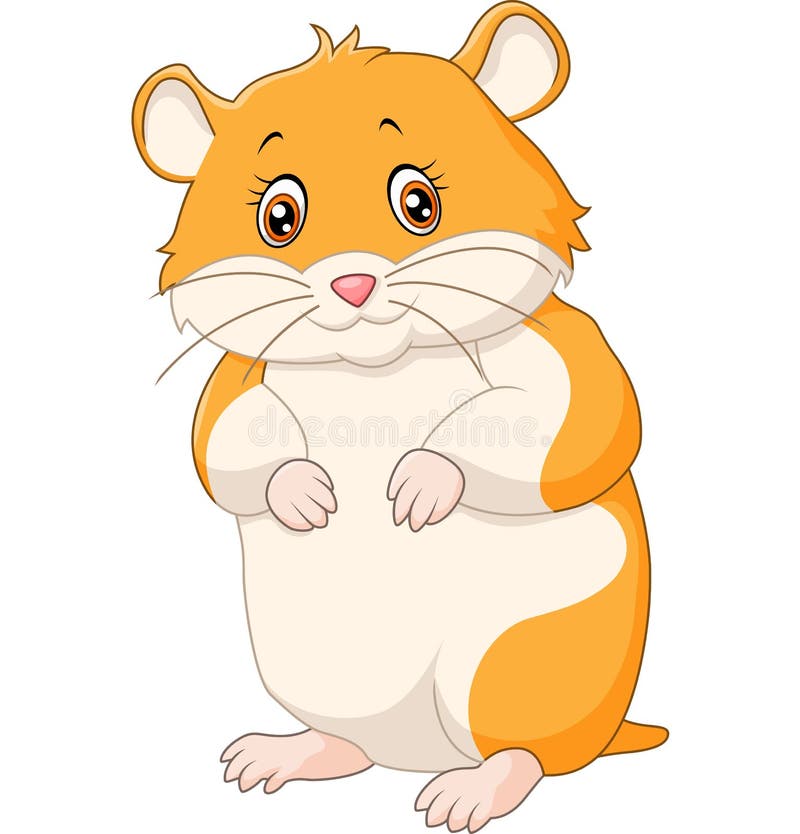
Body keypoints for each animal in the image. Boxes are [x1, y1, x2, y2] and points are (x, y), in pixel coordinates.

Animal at [133, 3, 667, 830]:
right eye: (279, 216)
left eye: (419, 203)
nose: (352, 284)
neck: (376, 370)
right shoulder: (241, 381)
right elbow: (223, 450)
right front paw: (303, 494)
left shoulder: (569, 360)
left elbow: (578, 429)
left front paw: (421, 483)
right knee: (347, 744)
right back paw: (286, 755)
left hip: (510, 670)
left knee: (528, 752)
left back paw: (472, 791)